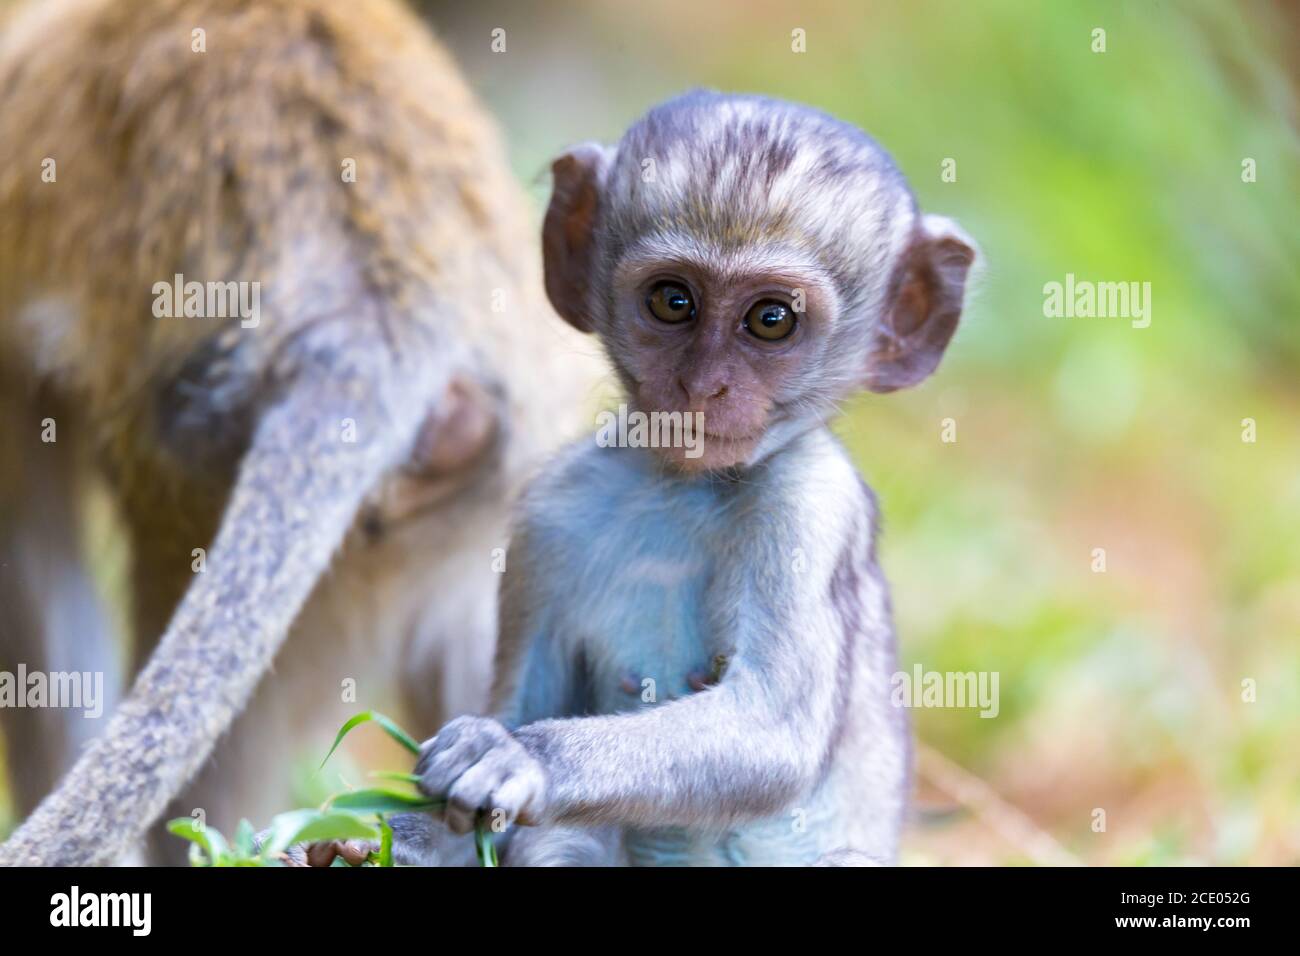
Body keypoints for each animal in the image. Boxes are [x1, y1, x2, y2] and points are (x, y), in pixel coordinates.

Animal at [312, 90, 976, 867]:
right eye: (672, 300)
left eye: (771, 319)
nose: (702, 386)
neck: (684, 489)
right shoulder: (548, 514)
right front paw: (394, 839)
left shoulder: (812, 501)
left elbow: (772, 731)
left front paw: (522, 756)